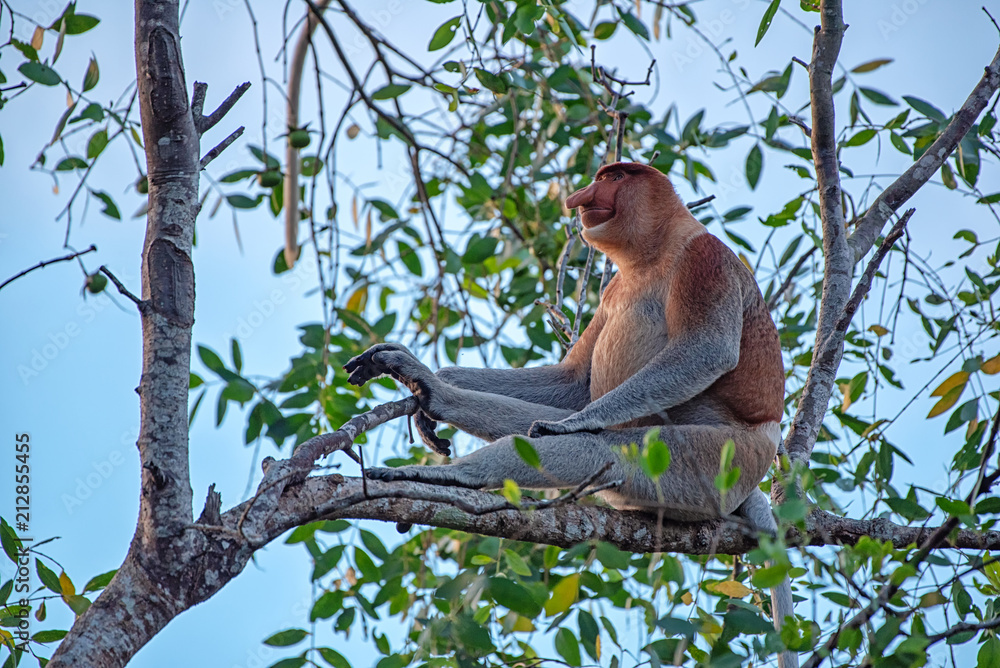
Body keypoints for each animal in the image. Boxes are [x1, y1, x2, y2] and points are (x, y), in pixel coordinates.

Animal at [344, 162, 797, 668]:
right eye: (602, 176)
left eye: (615, 177)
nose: (580, 196)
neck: (653, 254)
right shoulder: (615, 289)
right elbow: (573, 381)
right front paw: (426, 378)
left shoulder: (705, 260)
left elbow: (706, 351)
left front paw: (575, 422)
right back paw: (436, 399)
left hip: (717, 461)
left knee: (599, 452)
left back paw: (447, 477)